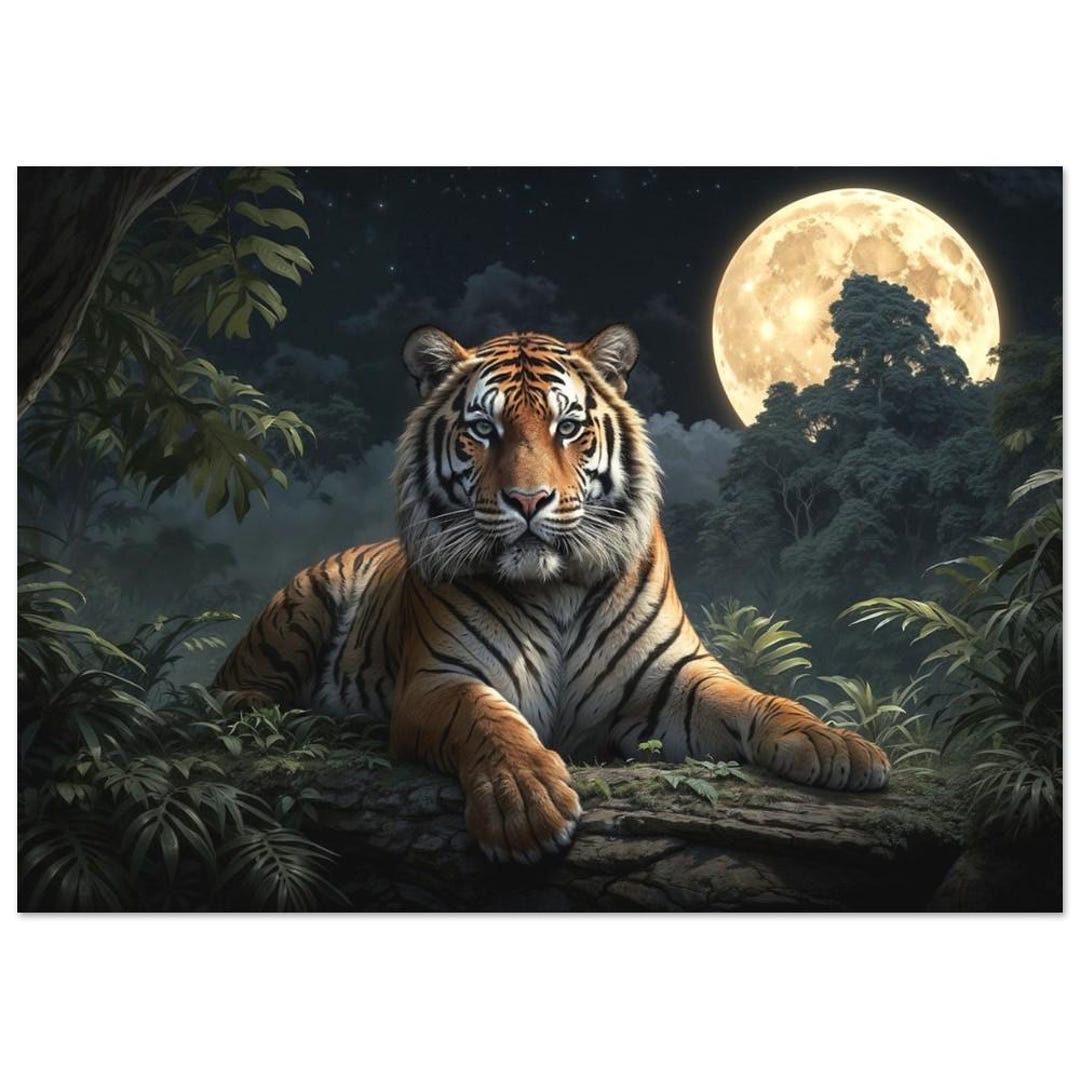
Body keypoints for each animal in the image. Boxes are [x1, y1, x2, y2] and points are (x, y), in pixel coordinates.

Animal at [212, 324, 890, 863]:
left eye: (568, 428)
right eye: (482, 429)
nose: (529, 500)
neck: (555, 587)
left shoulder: (674, 678)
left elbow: (753, 699)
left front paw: (837, 745)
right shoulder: (439, 679)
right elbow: (488, 720)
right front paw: (525, 803)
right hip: (302, 607)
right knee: (224, 696)